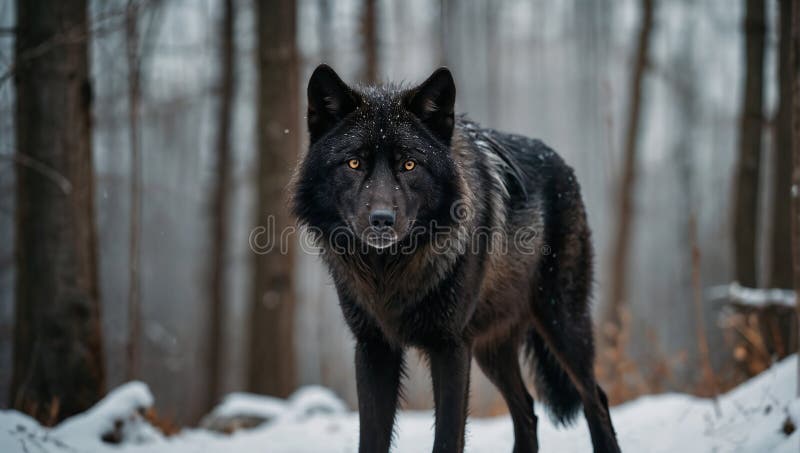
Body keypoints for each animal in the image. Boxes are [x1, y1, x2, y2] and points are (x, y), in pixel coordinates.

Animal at [291, 64, 621, 453]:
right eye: (354, 163)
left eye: (409, 164)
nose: (381, 219)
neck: (390, 271)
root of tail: (560, 161)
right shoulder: (374, 347)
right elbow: (371, 439)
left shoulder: (450, 347)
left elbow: (448, 438)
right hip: (490, 349)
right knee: (527, 410)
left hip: (562, 324)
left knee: (595, 398)